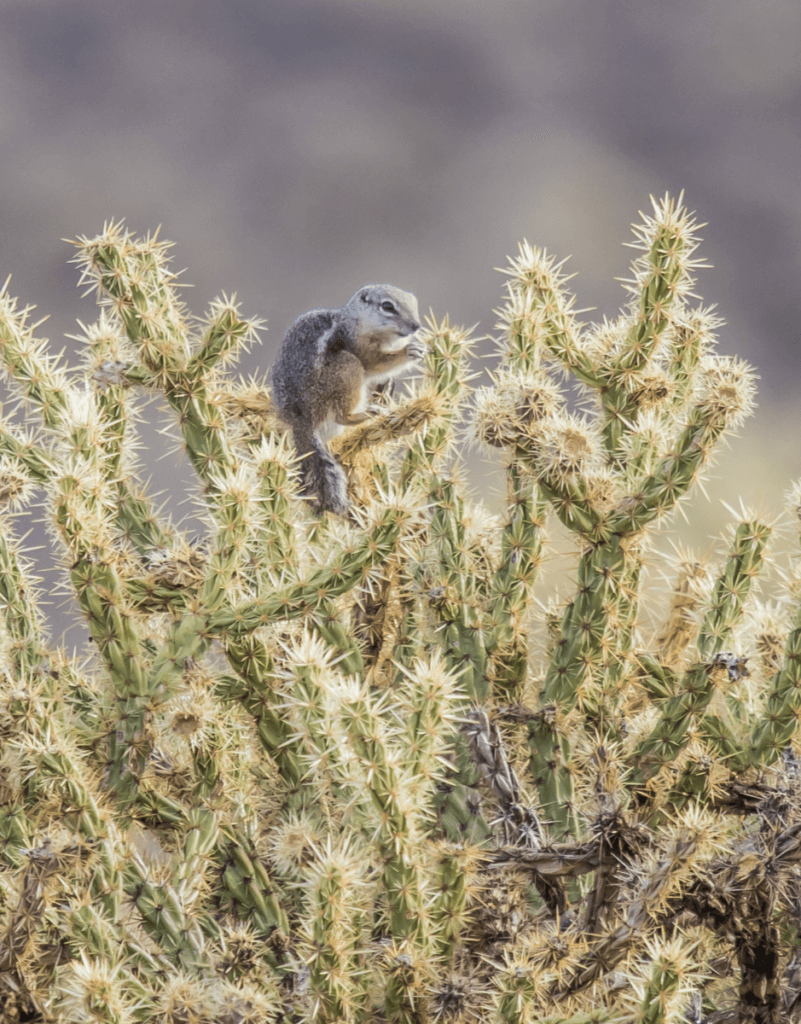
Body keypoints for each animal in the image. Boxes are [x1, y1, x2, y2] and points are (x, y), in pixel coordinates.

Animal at [270, 284, 425, 515]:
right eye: (388, 306)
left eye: (414, 303)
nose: (416, 326)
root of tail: (302, 418)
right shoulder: (359, 347)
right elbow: (376, 362)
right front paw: (409, 350)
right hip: (347, 366)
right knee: (341, 416)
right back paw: (365, 413)